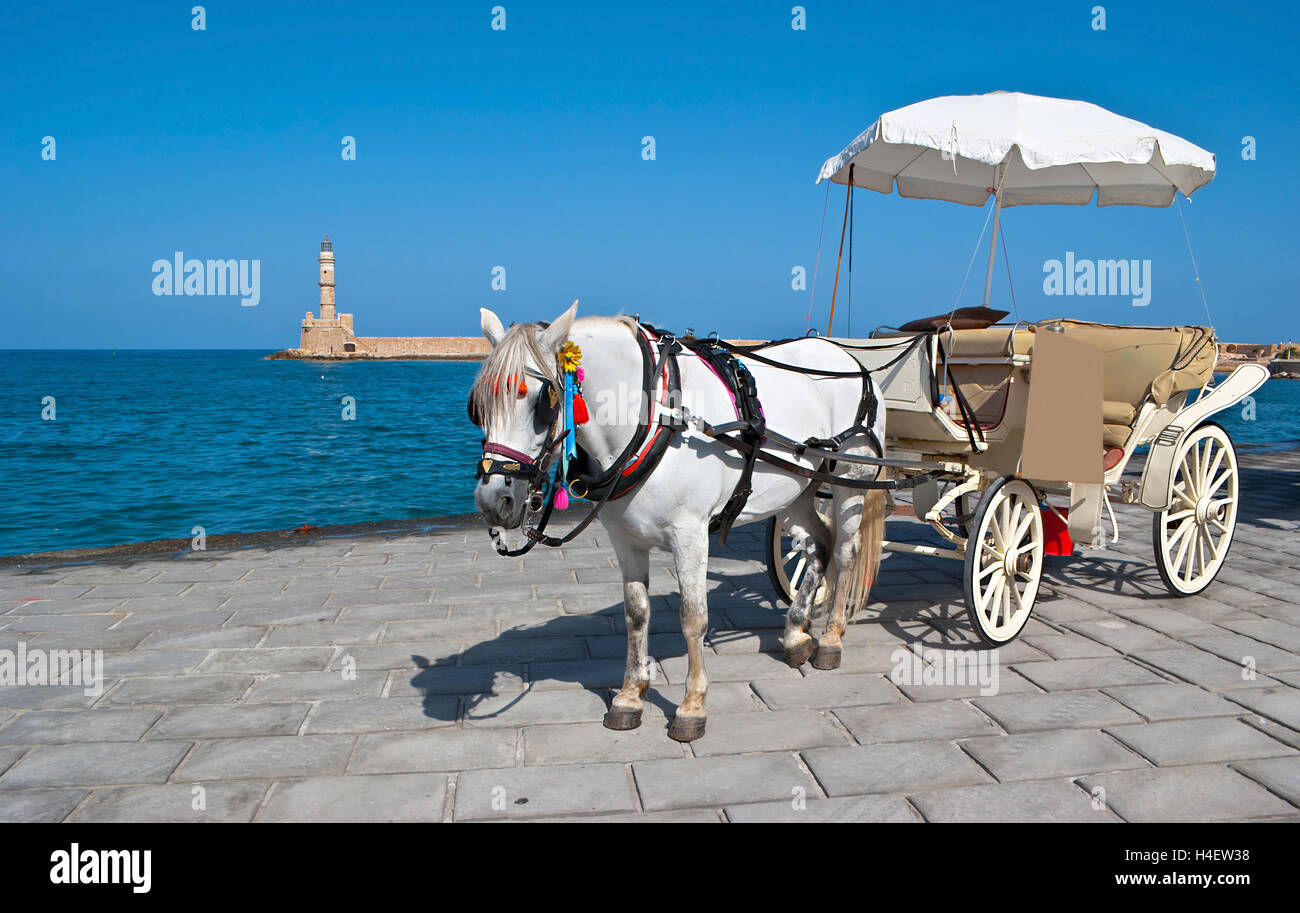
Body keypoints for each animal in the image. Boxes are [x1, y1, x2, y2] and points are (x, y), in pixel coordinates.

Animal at [469, 301, 887, 742]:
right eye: (477, 407)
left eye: (543, 400)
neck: (655, 415)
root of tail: (848, 357)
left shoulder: (691, 535)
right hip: (797, 489)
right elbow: (636, 614)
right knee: (817, 544)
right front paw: (630, 696)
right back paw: (795, 634)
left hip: (851, 480)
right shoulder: (625, 539)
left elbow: (692, 617)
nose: (493, 501)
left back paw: (831, 640)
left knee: (844, 553)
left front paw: (692, 705)